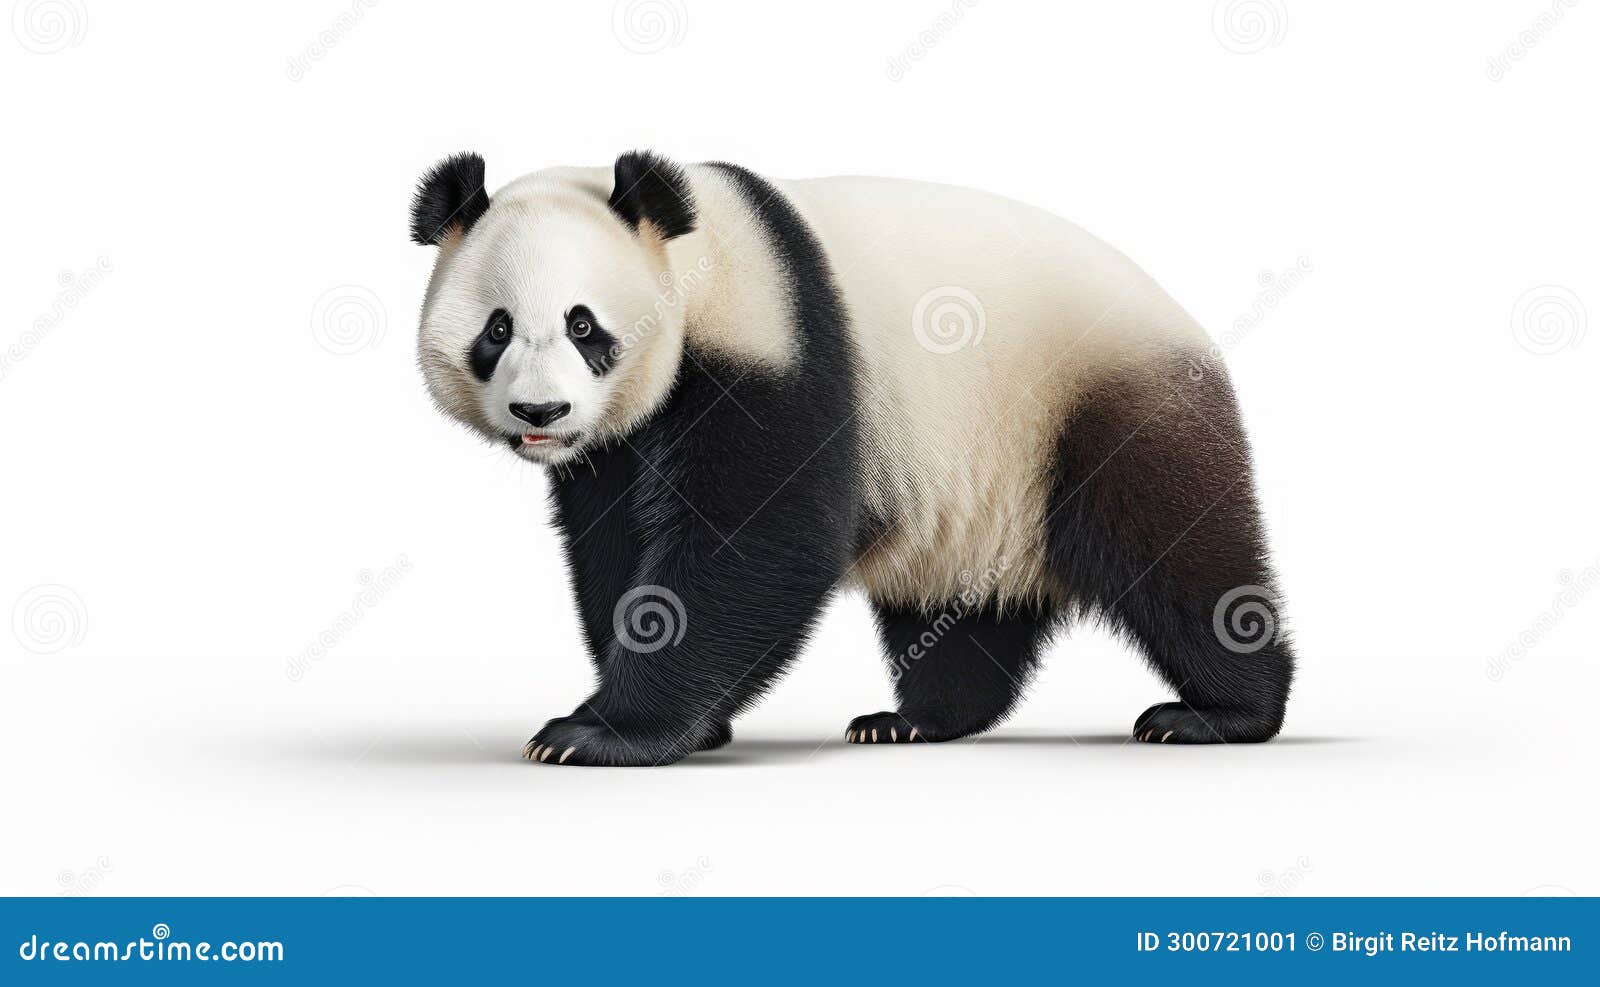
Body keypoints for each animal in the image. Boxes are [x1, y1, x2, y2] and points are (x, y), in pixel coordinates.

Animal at [410, 150, 1294, 766]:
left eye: (584, 324)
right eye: (496, 329)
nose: (541, 414)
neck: (694, 262)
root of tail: (1184, 319)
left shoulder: (775, 350)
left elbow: (755, 541)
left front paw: (604, 732)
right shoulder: (618, 446)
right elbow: (616, 551)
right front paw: (666, 718)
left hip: (1093, 400)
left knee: (1178, 550)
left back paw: (1217, 714)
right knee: (958, 607)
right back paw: (915, 719)